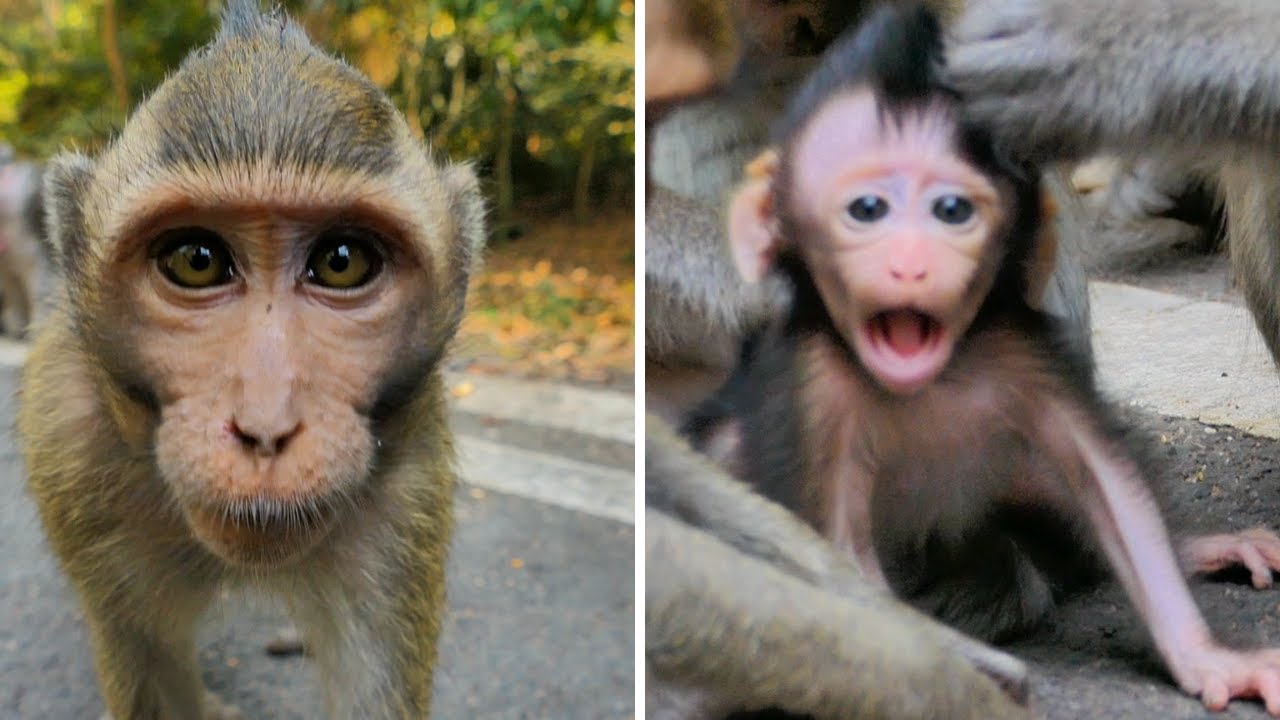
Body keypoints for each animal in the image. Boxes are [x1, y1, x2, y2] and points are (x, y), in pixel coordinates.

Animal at [684, 5, 1280, 714]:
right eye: (866, 209)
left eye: (952, 209)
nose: (911, 264)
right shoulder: (819, 394)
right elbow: (840, 545)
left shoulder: (1023, 355)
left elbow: (1105, 482)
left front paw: (1208, 657)